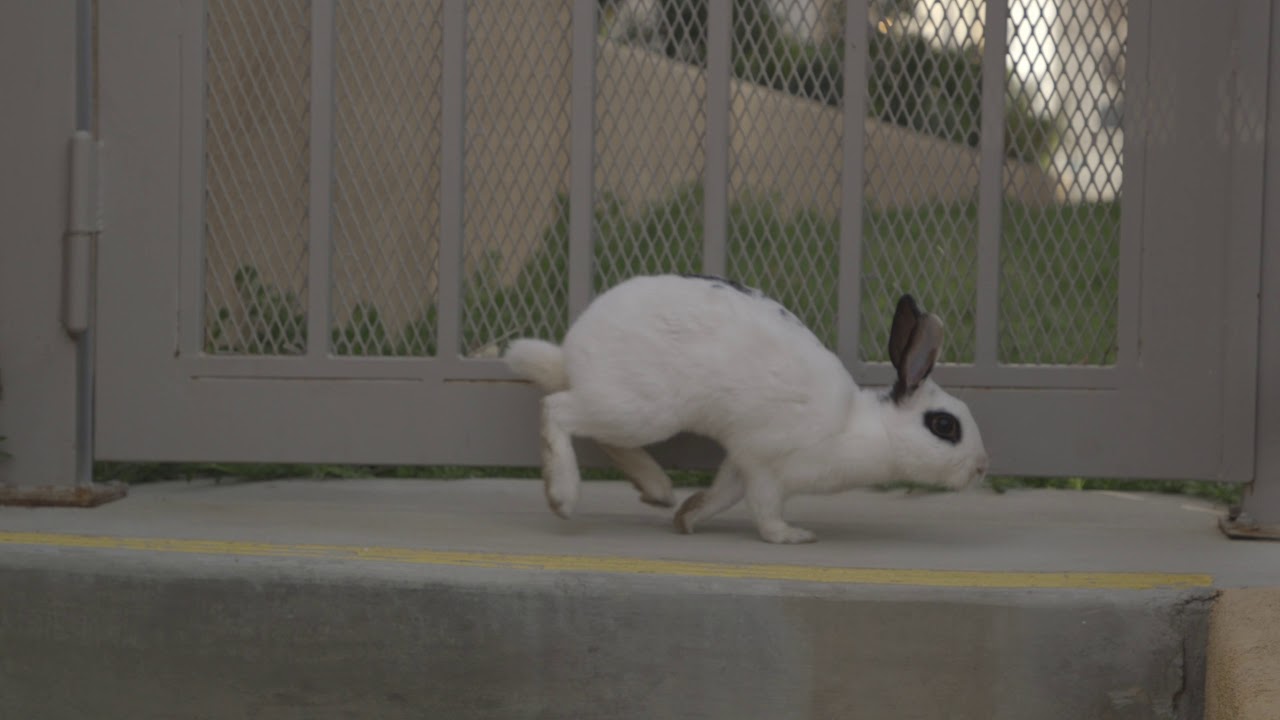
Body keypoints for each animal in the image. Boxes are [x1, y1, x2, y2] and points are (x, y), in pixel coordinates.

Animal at [504, 273, 989, 544]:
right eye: (944, 426)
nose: (982, 467)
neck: (866, 427)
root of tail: (571, 351)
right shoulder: (767, 466)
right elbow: (764, 510)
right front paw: (792, 537)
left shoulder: (740, 460)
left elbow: (720, 495)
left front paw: (686, 519)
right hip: (640, 408)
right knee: (557, 409)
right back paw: (563, 495)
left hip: (631, 412)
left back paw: (658, 490)